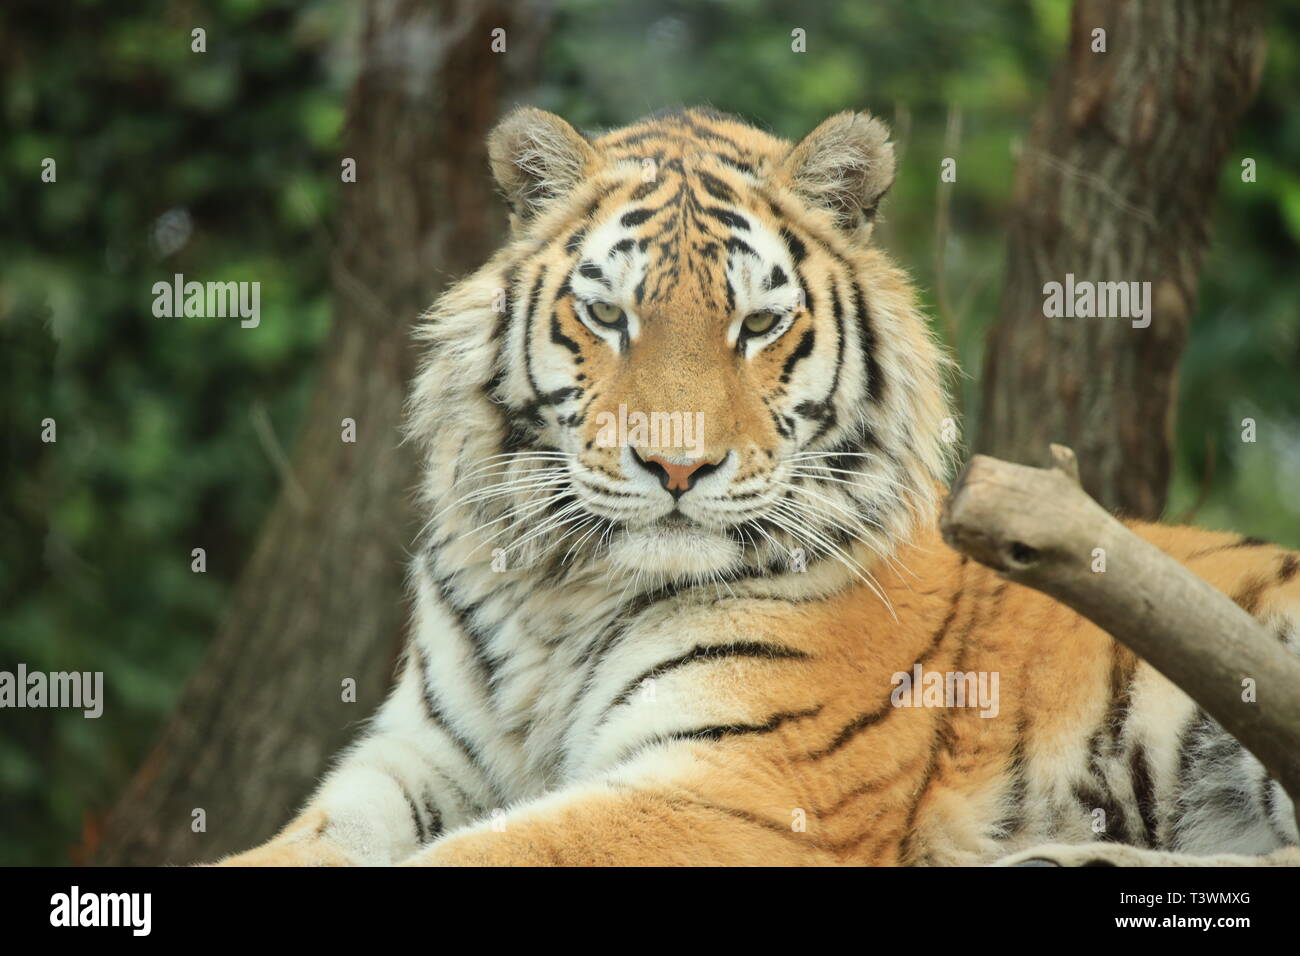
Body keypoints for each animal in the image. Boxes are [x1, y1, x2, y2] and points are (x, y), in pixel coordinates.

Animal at [219, 106, 1300, 867]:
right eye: (607, 316)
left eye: (757, 324)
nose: (677, 467)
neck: (563, 596)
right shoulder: (411, 762)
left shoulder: (738, 782)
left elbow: (484, 853)